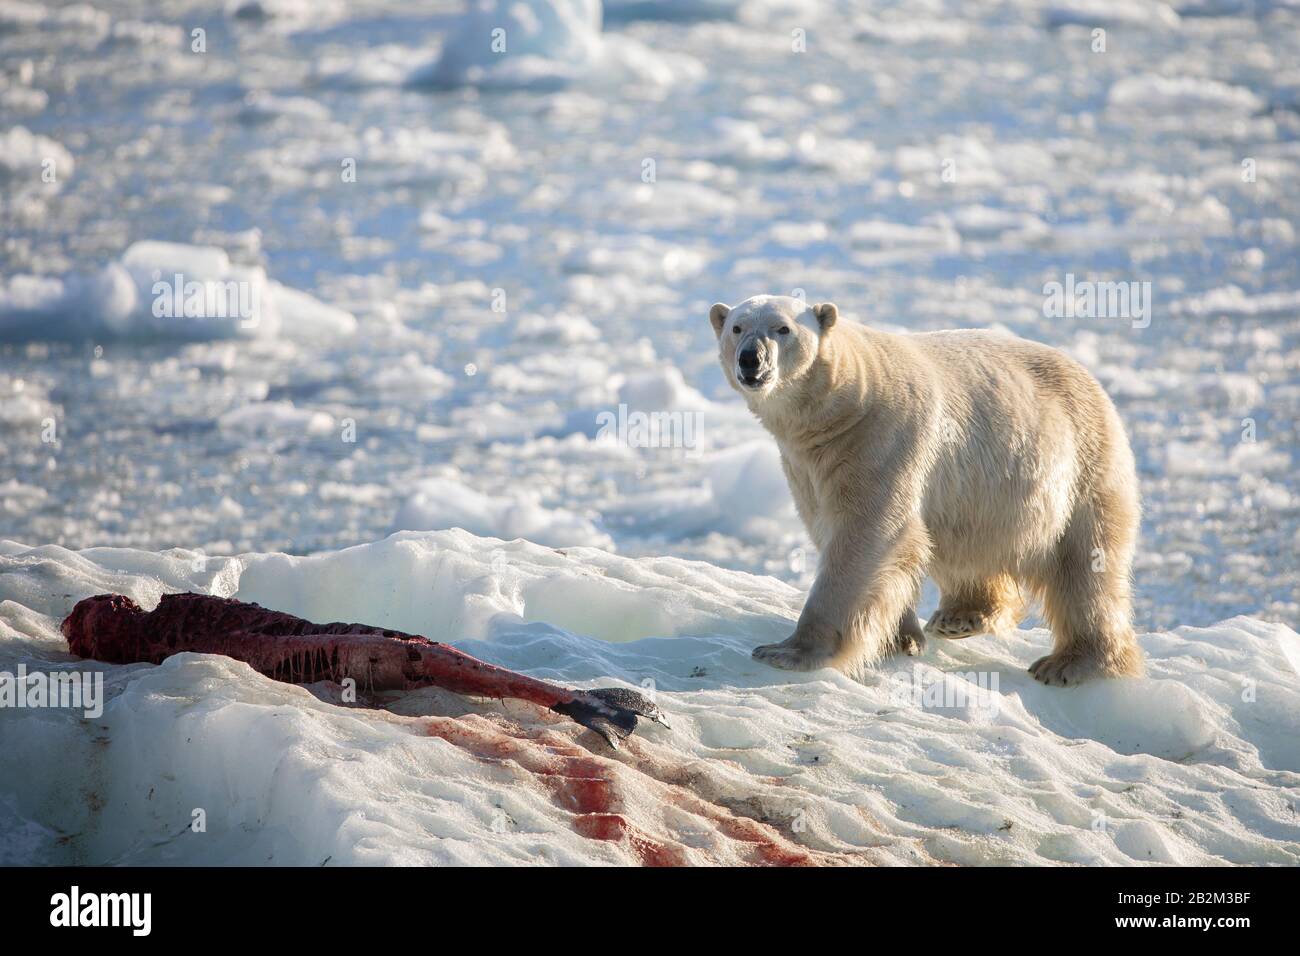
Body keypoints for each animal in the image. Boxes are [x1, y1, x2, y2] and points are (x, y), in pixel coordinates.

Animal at [710, 294, 1143, 686]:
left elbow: (866, 536)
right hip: (984, 496)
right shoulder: (806, 465)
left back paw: (1070, 663)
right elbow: (851, 536)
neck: (843, 404)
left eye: (782, 328)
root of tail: (1092, 381)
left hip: (1084, 464)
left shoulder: (882, 439)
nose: (750, 359)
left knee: (1086, 564)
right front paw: (900, 638)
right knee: (966, 544)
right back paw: (960, 617)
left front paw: (787, 651)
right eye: (737, 327)